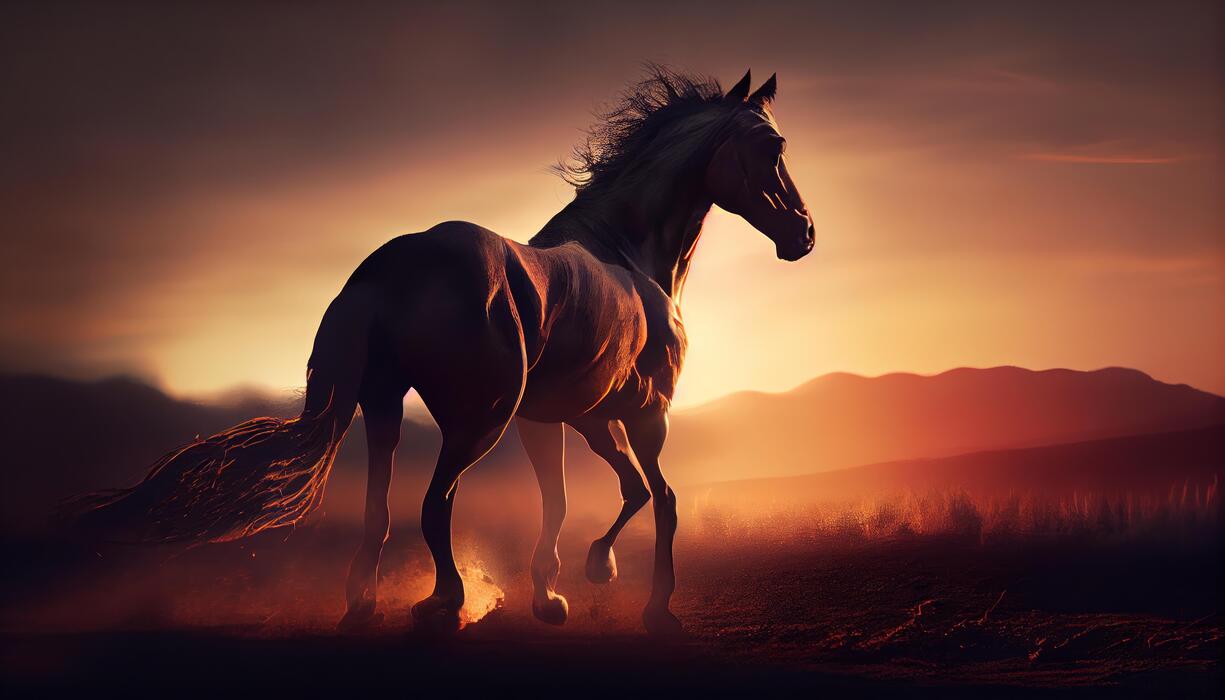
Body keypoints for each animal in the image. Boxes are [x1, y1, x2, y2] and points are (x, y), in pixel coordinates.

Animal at [67, 68, 814, 635]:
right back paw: (443, 603)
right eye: (773, 144)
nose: (802, 235)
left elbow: (577, 499)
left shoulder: (563, 421)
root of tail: (388, 267)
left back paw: (364, 604)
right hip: (475, 421)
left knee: (382, 511)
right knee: (435, 504)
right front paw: (652, 606)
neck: (628, 252)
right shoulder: (642, 413)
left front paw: (561, 591)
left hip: (384, 410)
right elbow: (661, 499)